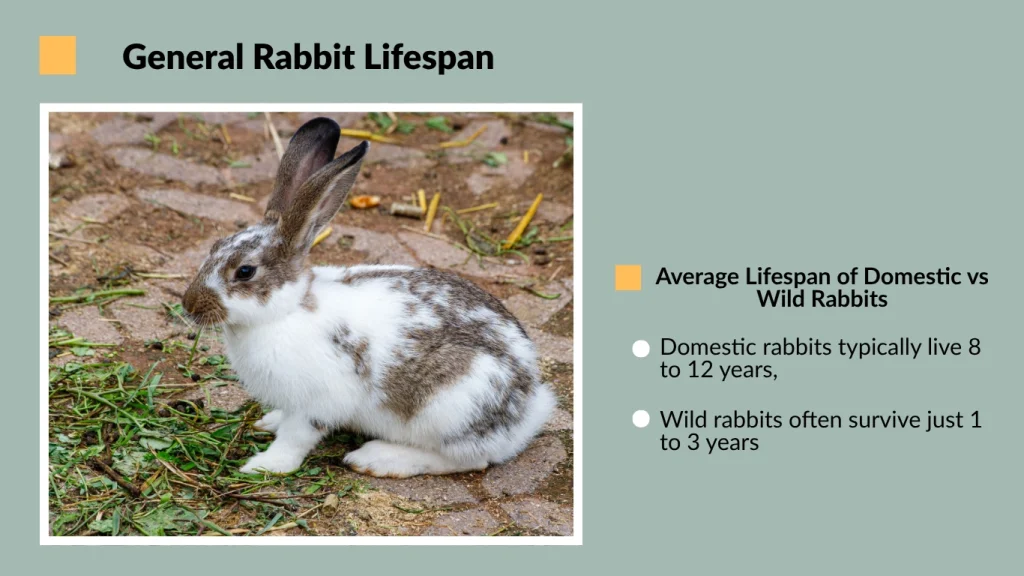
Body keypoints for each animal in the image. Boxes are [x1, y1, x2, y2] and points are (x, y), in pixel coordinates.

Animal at [181, 117, 556, 478]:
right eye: (214, 246)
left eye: (245, 272)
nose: (189, 306)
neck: (286, 311)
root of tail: (527, 413)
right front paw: (269, 421)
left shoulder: (317, 401)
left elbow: (295, 438)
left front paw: (264, 466)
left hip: (452, 407)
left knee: (470, 460)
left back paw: (378, 459)